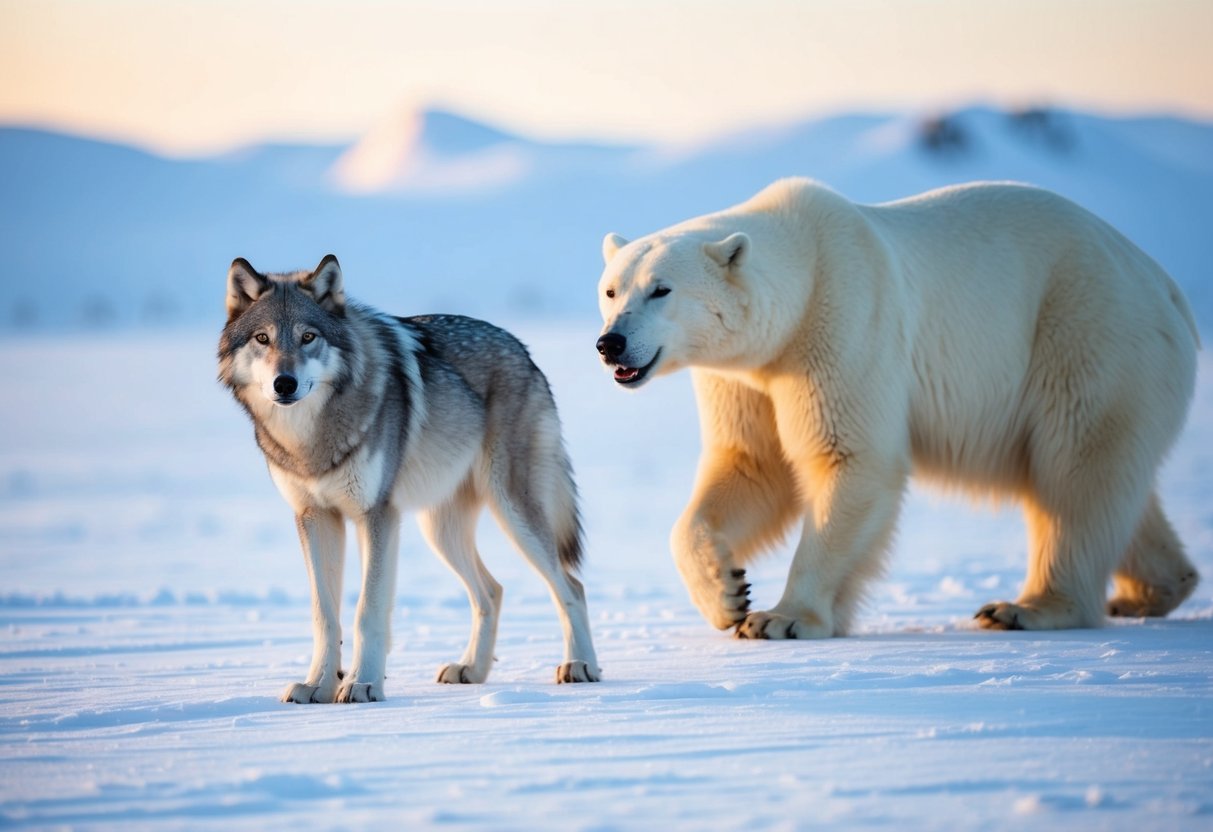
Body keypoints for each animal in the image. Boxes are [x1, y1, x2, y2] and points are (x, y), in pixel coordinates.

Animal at [219, 254, 600, 702]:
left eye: (308, 336)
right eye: (262, 338)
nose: (284, 383)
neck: (311, 440)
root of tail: (521, 348)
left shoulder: (377, 515)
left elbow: (367, 610)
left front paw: (363, 683)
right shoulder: (315, 518)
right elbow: (324, 615)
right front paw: (318, 685)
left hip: (513, 513)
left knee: (571, 586)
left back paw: (581, 665)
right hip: (439, 531)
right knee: (492, 590)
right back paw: (472, 669)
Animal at [595, 178, 1200, 637]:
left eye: (661, 290)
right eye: (611, 290)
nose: (610, 344)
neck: (804, 272)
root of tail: (1167, 288)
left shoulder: (844, 322)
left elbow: (849, 458)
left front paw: (780, 618)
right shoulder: (747, 375)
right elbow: (750, 465)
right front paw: (726, 592)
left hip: (1085, 330)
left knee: (1073, 470)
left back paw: (1025, 607)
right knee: (1110, 480)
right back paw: (1150, 591)